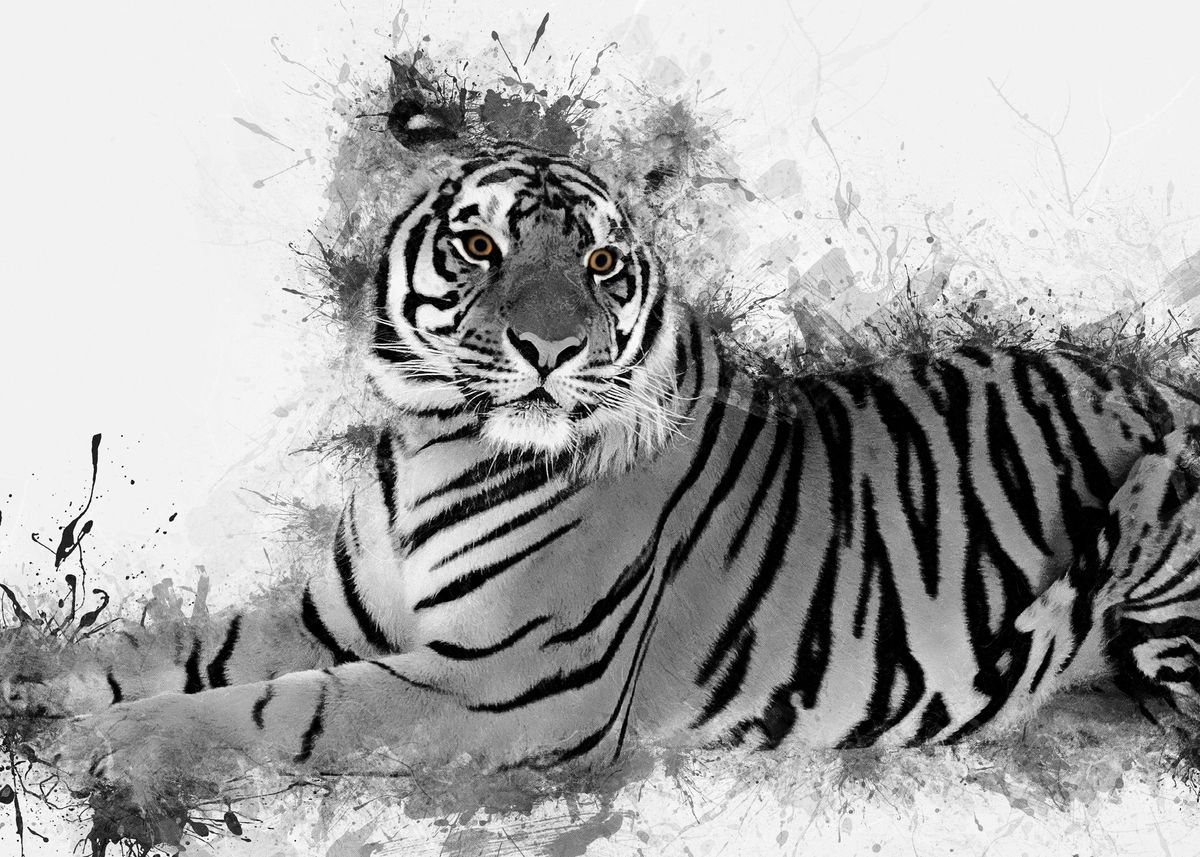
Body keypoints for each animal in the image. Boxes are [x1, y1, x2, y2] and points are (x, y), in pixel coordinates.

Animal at [4, 143, 1200, 801]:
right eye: (478, 246)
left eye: (601, 262)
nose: (551, 346)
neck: (431, 442)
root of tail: (1164, 384)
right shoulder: (331, 616)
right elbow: (172, 646)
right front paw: (41, 680)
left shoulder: (505, 684)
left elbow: (277, 709)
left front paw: (102, 745)